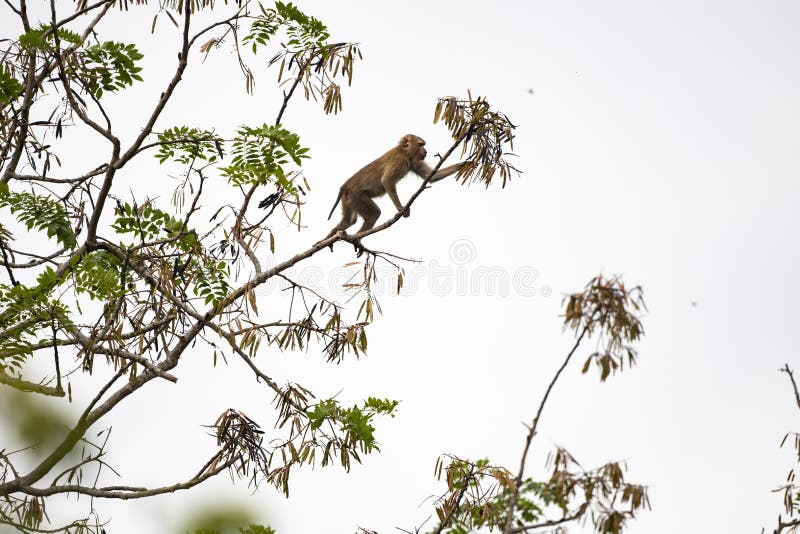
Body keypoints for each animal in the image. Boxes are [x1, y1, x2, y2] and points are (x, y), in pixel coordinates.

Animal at [319, 134, 465, 250]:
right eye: (420, 145)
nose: (425, 151)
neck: (404, 150)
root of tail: (345, 185)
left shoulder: (413, 161)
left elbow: (432, 176)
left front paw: (466, 163)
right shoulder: (400, 159)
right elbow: (387, 181)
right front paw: (401, 208)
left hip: (348, 199)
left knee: (349, 220)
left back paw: (331, 237)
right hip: (357, 196)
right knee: (374, 213)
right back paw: (356, 239)